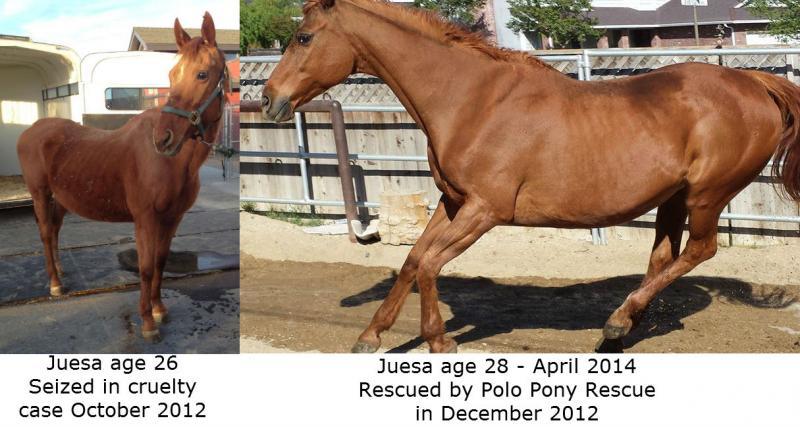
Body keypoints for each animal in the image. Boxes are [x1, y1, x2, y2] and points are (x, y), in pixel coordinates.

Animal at [17, 12, 230, 342]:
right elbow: (145, 268)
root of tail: (31, 131)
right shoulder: (145, 219)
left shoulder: (172, 218)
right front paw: (148, 322)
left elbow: (160, 262)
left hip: (61, 199)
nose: (163, 138)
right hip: (39, 194)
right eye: (172, 74)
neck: (170, 163)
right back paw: (54, 284)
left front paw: (159, 309)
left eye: (203, 74)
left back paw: (61, 272)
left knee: (54, 231)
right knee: (45, 234)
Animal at [263, 0, 800, 353]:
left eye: (304, 37)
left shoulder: (486, 210)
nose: (269, 99)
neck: (473, 100)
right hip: (672, 197)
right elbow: (413, 262)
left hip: (707, 195)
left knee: (701, 249)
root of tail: (753, 82)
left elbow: (432, 265)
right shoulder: (453, 203)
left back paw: (615, 323)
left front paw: (439, 343)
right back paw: (624, 325)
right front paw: (370, 336)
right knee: (664, 257)